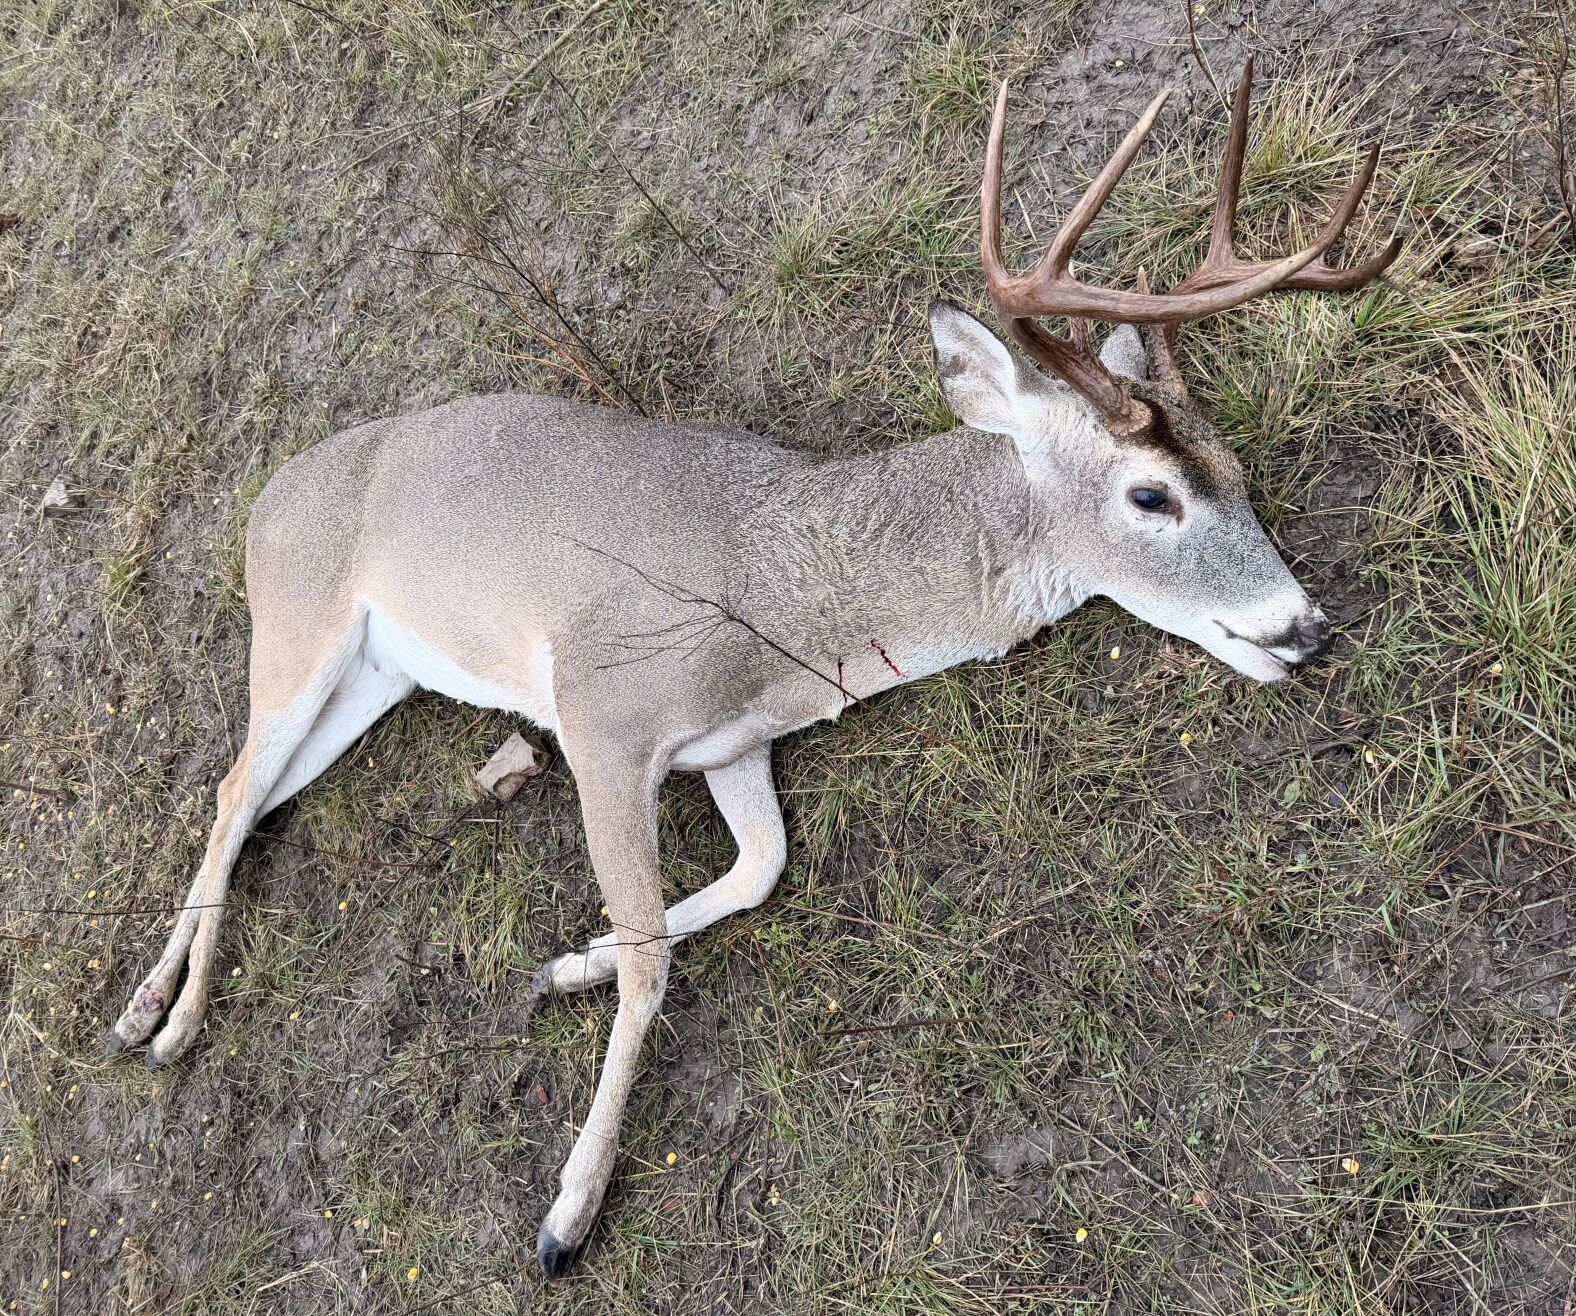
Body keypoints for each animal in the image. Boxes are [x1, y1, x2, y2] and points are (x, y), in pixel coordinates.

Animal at [107, 60, 1398, 1277]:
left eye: (1238, 468)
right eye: (1150, 494)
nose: (1302, 626)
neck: (789, 599)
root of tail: (264, 498)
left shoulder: (736, 743)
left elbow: (757, 871)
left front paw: (566, 960)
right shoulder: (601, 708)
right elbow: (651, 964)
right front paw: (567, 1211)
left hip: (378, 677)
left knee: (253, 798)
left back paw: (141, 1005)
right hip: (300, 620)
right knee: (236, 782)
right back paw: (168, 1023)